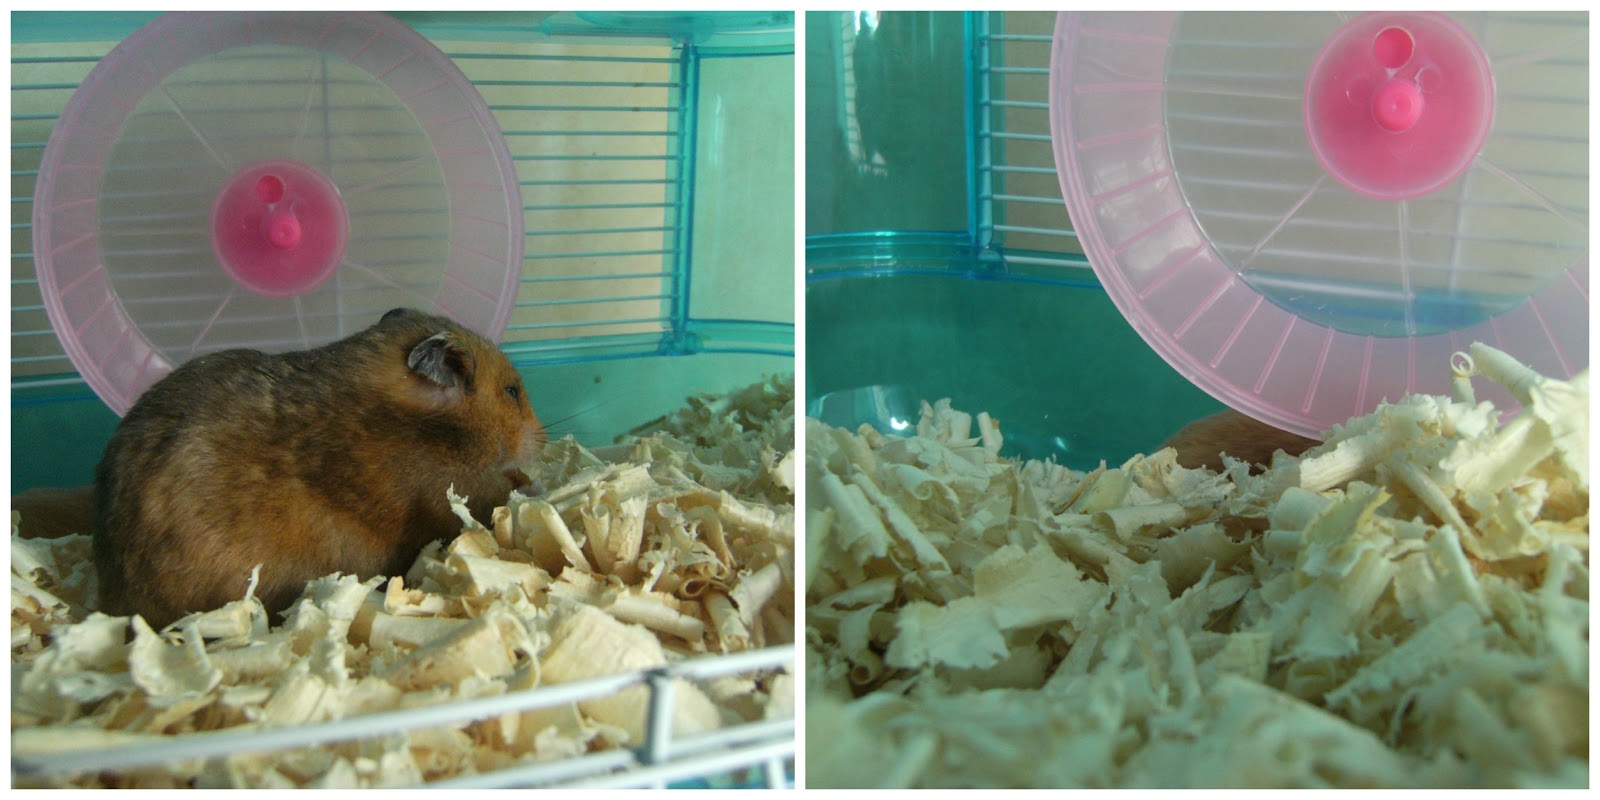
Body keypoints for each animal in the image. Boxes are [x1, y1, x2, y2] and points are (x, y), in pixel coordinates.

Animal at [92, 307, 545, 629]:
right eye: (512, 391)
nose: (543, 440)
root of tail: (116, 605)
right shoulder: (450, 491)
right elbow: (495, 493)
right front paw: (533, 486)